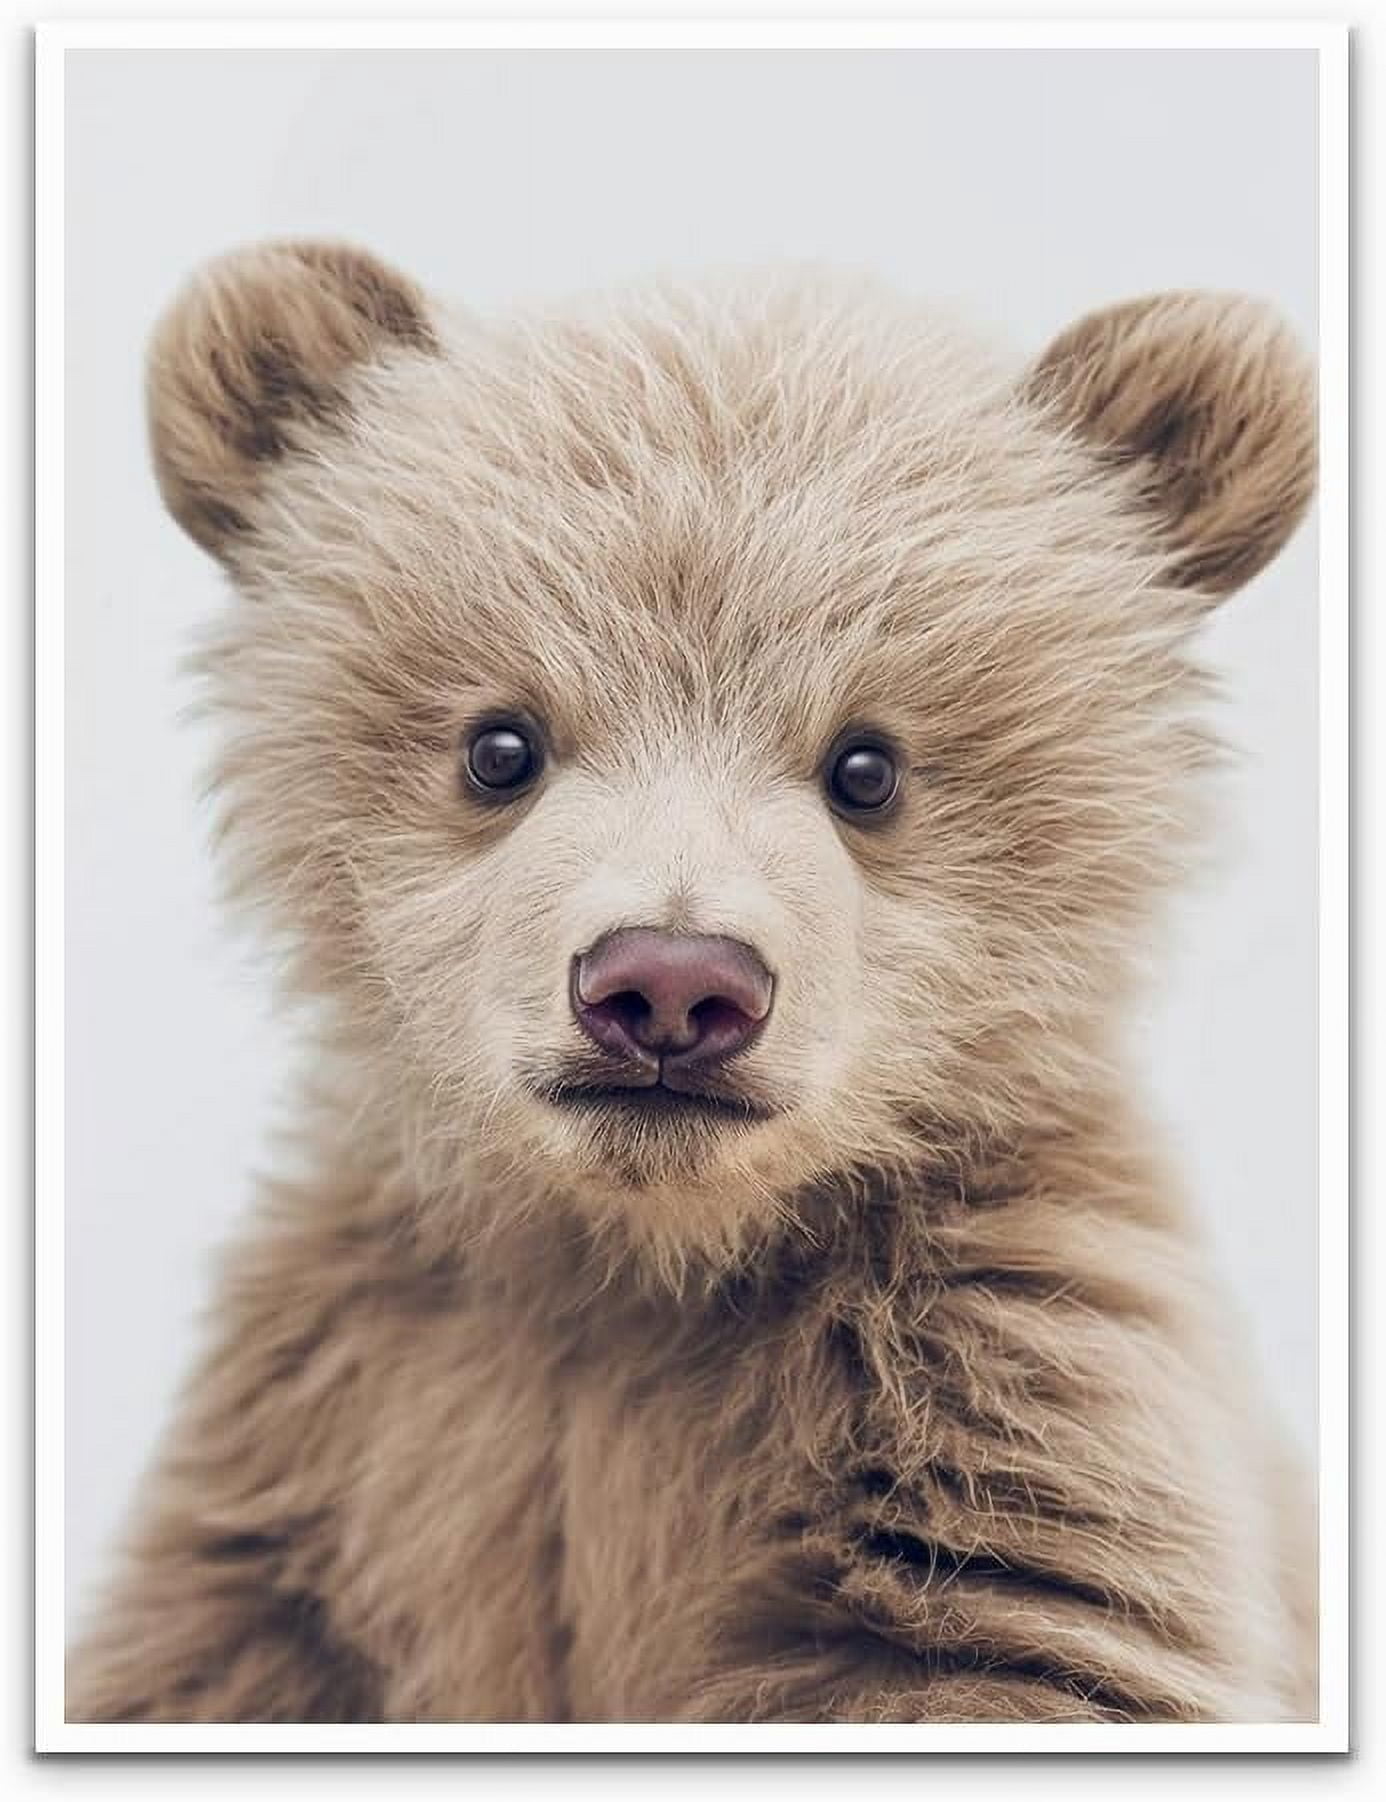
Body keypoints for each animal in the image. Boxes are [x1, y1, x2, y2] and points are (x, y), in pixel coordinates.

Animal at [67, 241, 1317, 1725]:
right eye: (500, 744)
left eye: (866, 764)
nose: (669, 985)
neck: (642, 1268)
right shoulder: (333, 1436)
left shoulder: (1001, 1391)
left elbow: (1024, 1628)